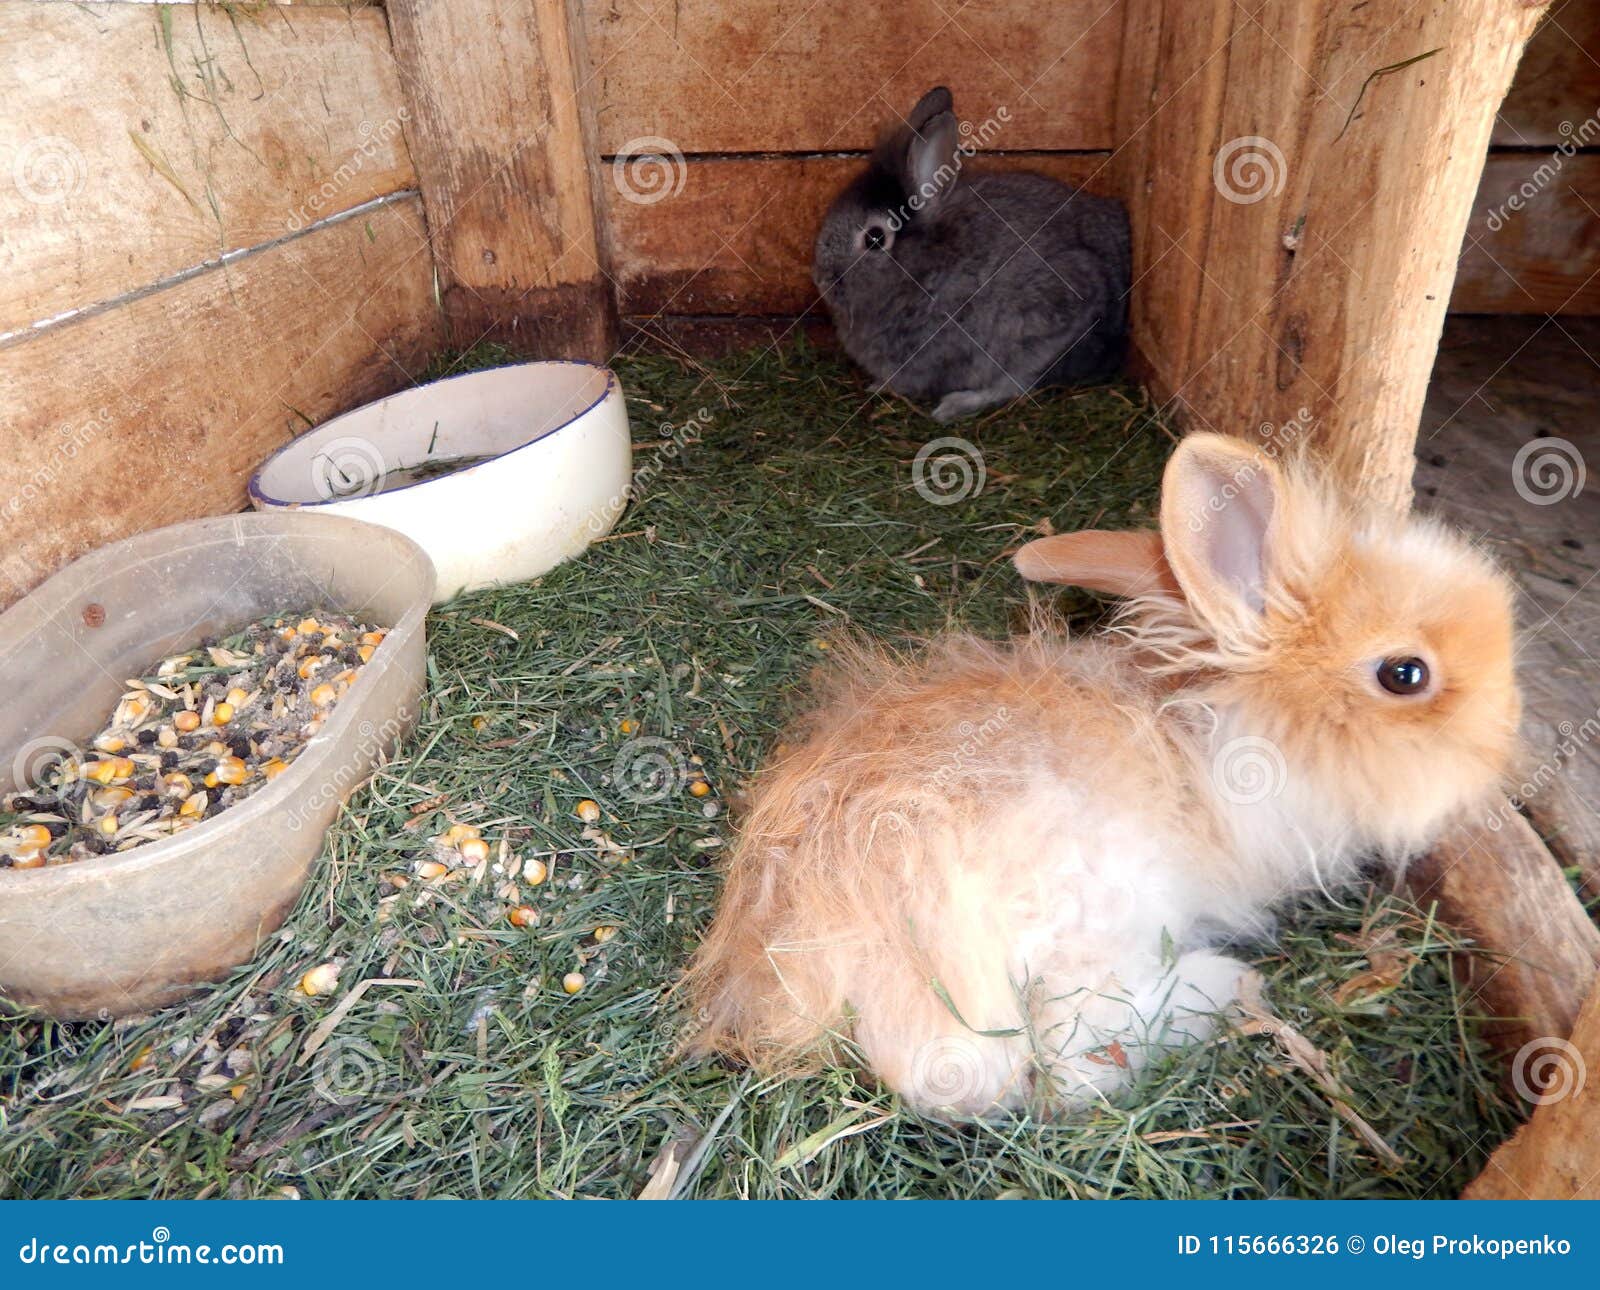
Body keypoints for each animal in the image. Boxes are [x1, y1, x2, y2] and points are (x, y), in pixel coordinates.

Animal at [682, 432, 1520, 1117]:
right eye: (1405, 674)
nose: (1508, 732)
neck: (1226, 721)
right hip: (1086, 929)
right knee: (1050, 1066)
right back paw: (1226, 987)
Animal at [812, 86, 1131, 423]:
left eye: (874, 239)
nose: (821, 278)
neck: (924, 271)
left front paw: (880, 387)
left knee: (1015, 383)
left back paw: (954, 406)